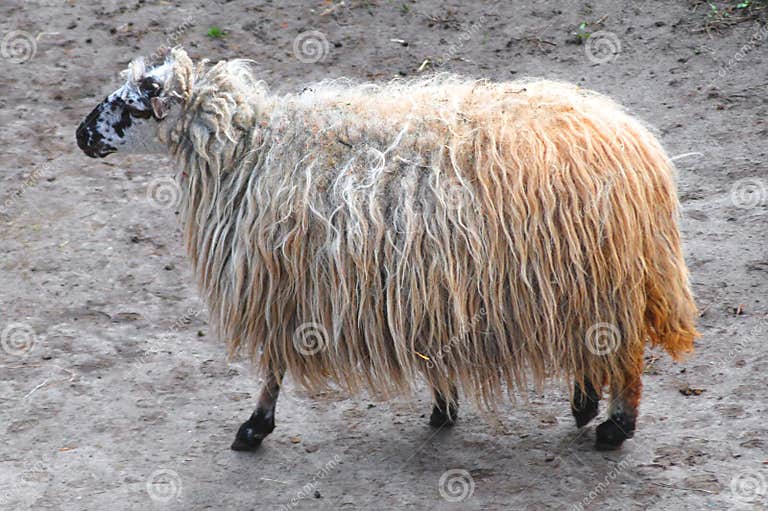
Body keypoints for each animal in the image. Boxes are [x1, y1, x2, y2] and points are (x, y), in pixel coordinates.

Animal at [76, 47, 699, 451]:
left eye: (132, 104)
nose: (81, 135)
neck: (249, 152)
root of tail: (637, 148)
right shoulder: (421, 281)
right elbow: (433, 352)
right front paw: (445, 407)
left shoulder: (281, 283)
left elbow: (274, 363)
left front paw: (254, 427)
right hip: (583, 275)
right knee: (596, 342)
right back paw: (585, 404)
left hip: (599, 271)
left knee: (624, 353)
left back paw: (614, 427)